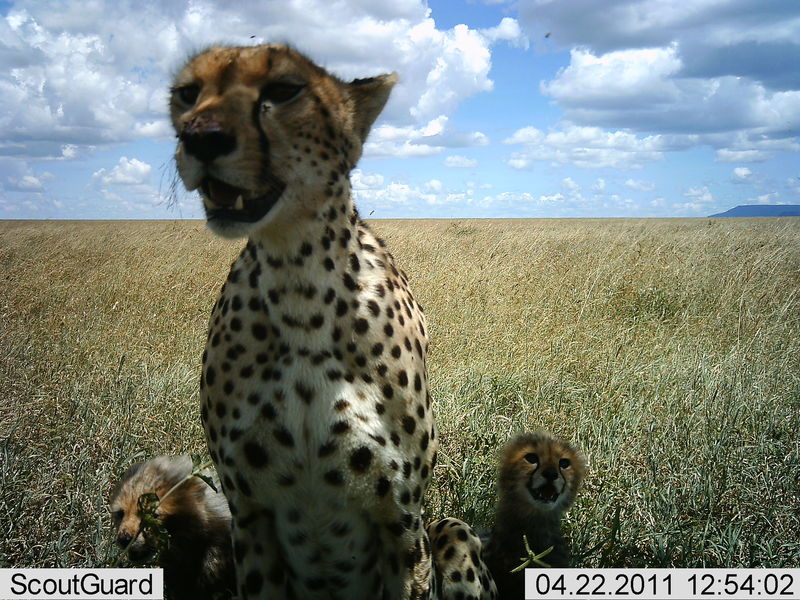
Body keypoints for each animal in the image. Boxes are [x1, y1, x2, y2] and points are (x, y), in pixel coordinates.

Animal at [169, 44, 460, 599]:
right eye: (187, 93)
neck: (299, 284)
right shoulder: (249, 515)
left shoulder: (403, 519)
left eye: (285, 90)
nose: (200, 137)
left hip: (447, 528)